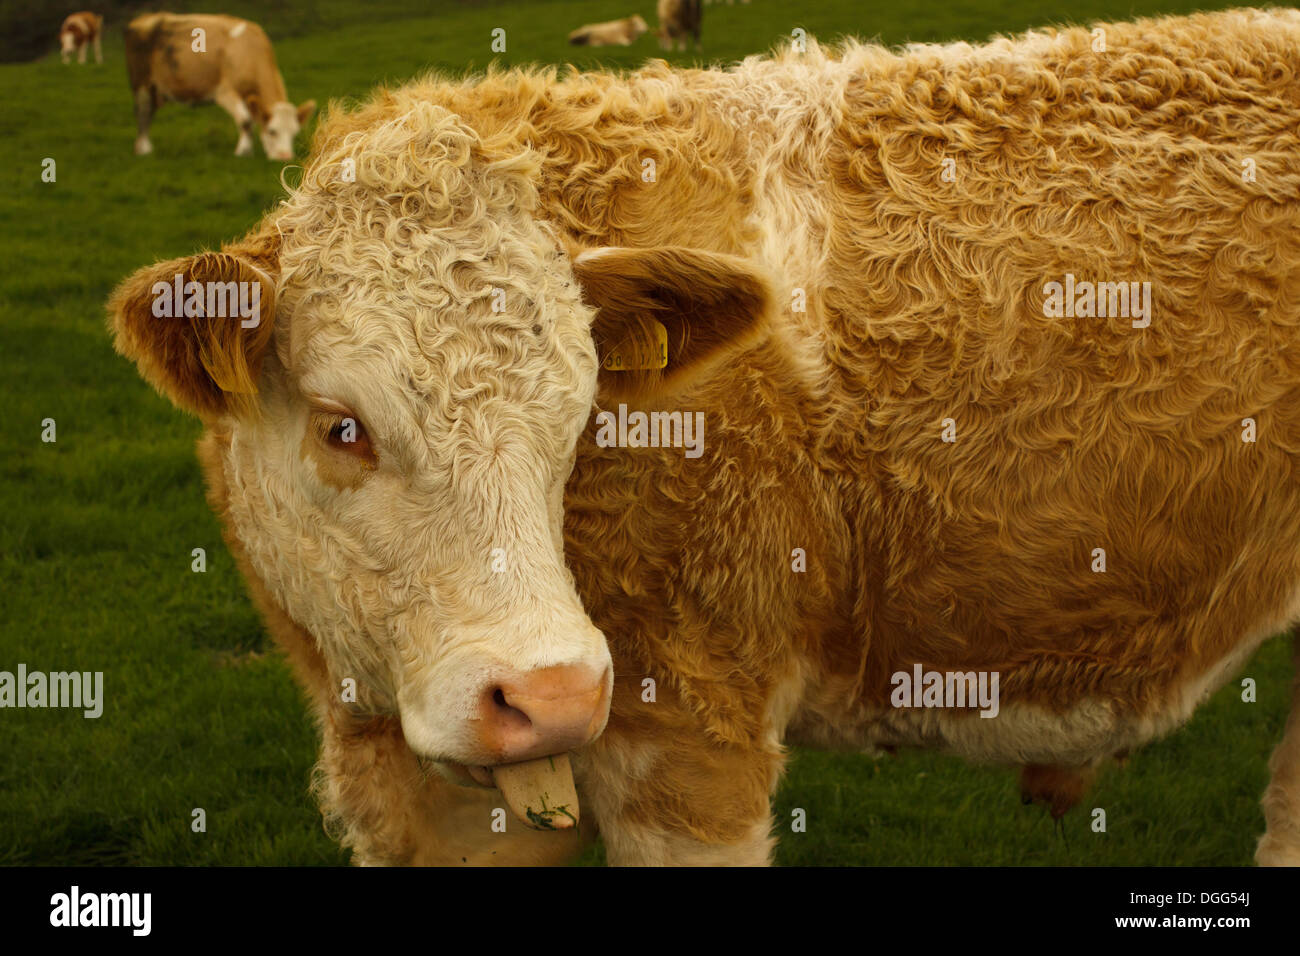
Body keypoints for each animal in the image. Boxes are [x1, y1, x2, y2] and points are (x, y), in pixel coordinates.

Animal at [123, 13, 315, 159]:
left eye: (294, 133)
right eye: (272, 131)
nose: (285, 157)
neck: (249, 52)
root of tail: (144, 18)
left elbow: (250, 120)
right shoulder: (224, 92)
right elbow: (245, 120)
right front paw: (243, 152)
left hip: (154, 89)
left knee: (148, 113)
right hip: (141, 84)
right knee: (143, 113)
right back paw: (143, 150)